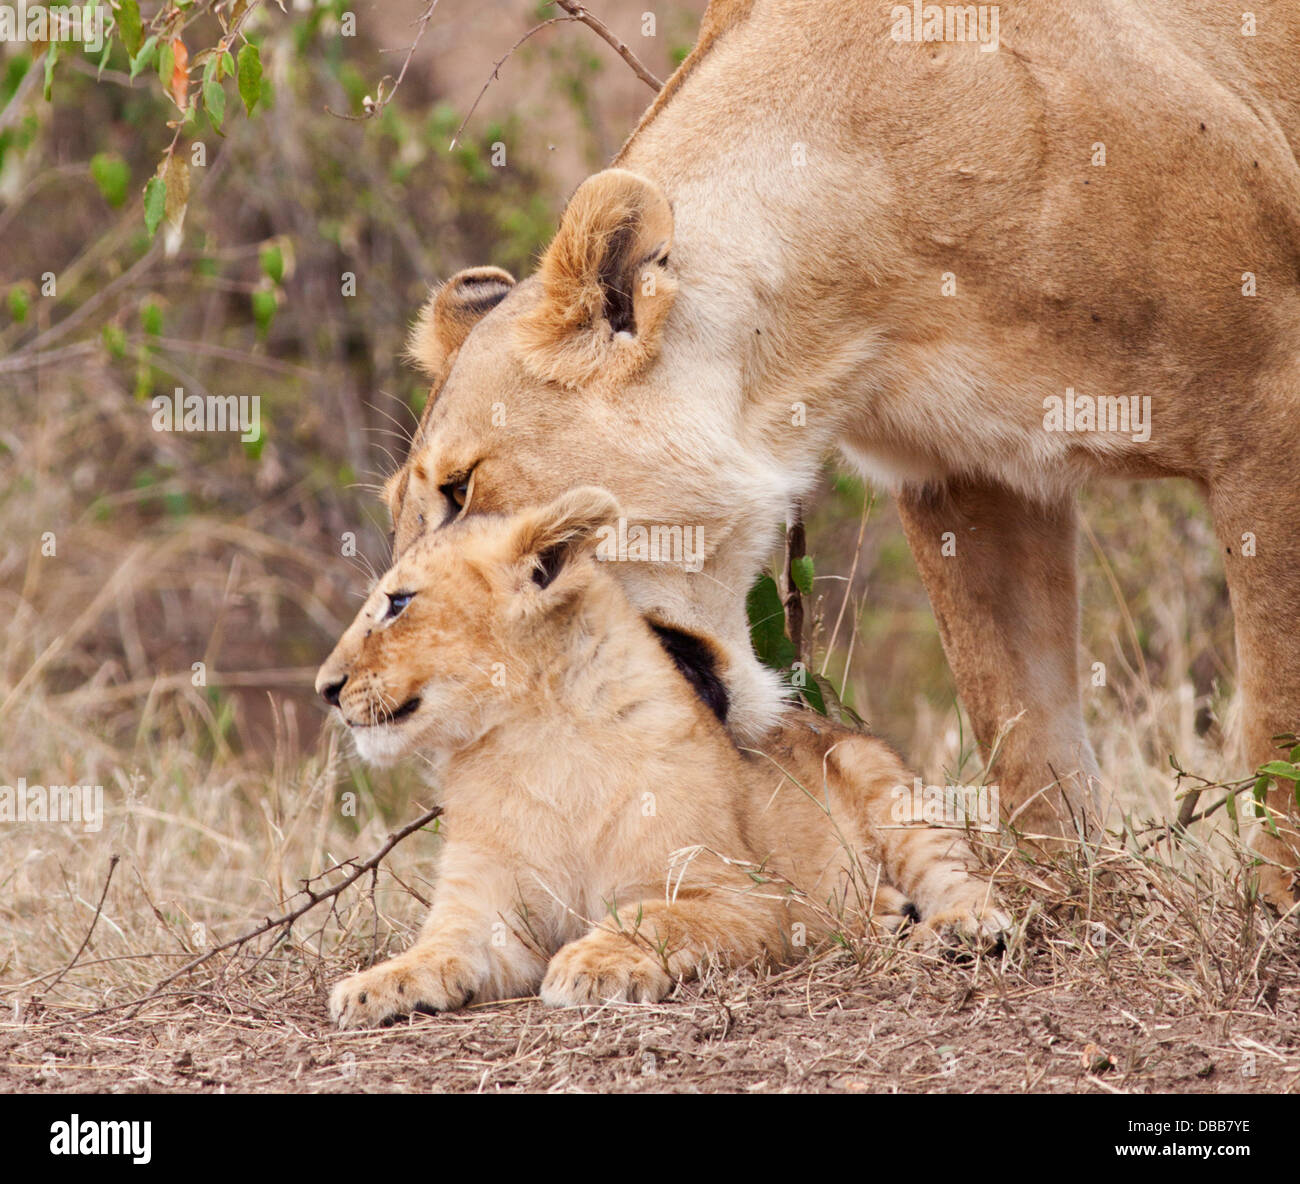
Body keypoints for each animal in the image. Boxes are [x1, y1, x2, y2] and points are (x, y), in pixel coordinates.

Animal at [315, 488, 1007, 1028]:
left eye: (399, 603)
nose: (326, 687)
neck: (528, 739)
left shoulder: (746, 896)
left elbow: (653, 915)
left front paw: (594, 963)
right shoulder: (487, 910)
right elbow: (439, 948)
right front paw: (376, 985)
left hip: (887, 788)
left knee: (961, 877)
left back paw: (959, 928)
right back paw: (889, 915)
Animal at [377, 1, 1300, 906]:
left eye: (460, 488)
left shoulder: (1270, 398)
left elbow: (1278, 715)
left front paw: (1278, 909)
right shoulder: (965, 478)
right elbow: (1022, 731)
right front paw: (1067, 900)